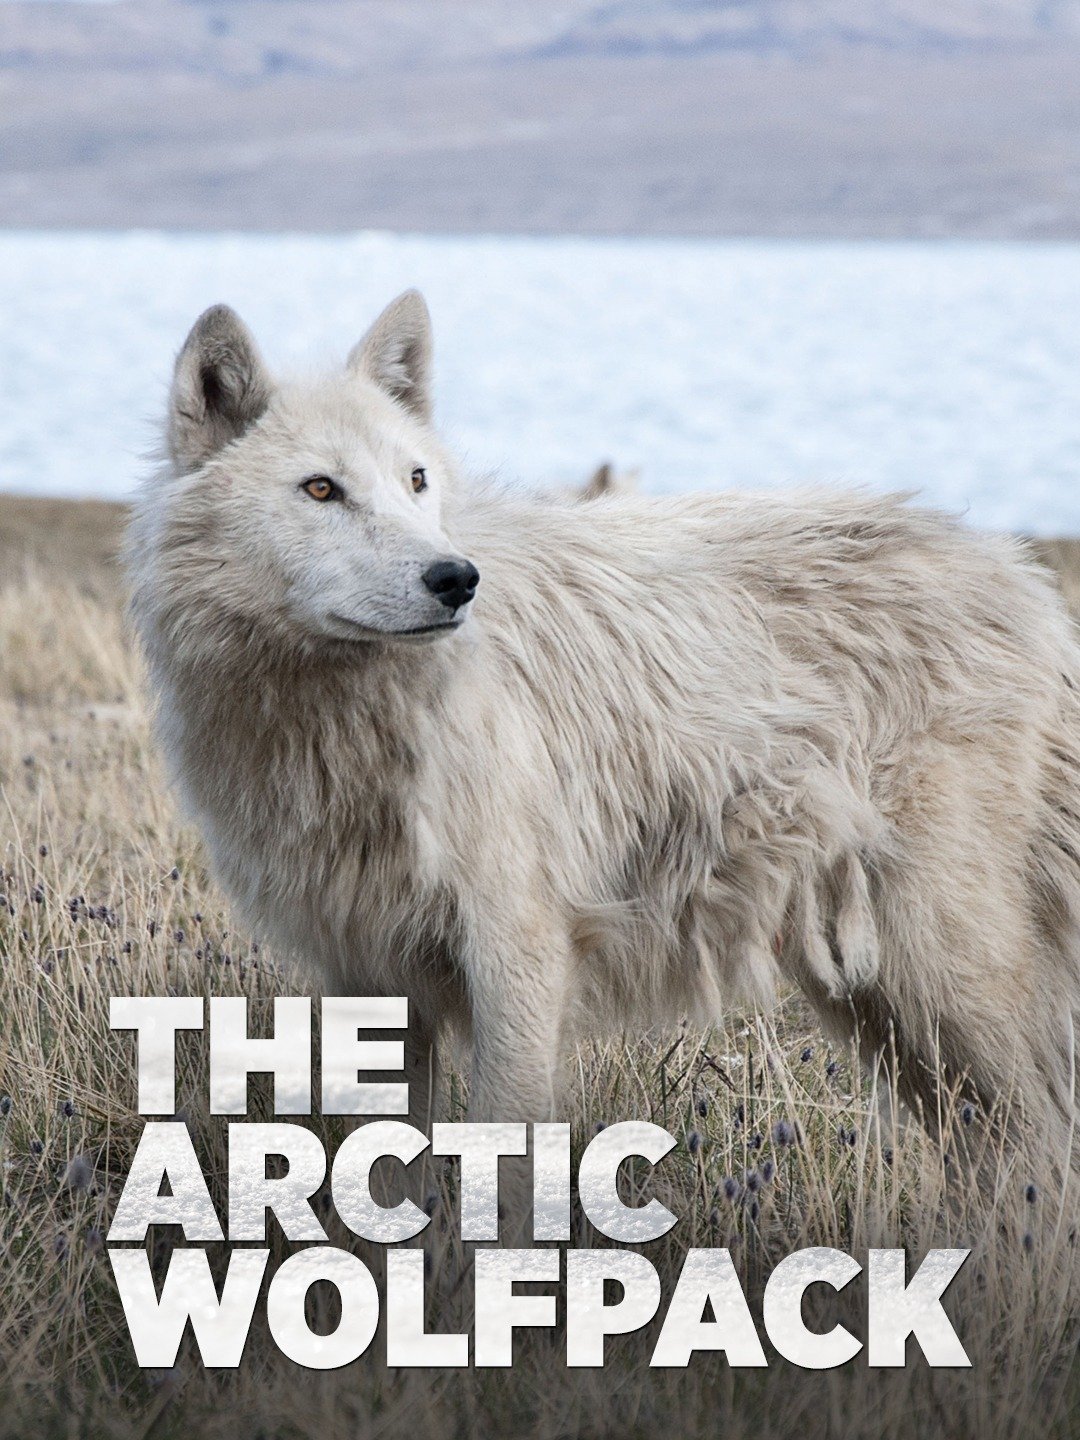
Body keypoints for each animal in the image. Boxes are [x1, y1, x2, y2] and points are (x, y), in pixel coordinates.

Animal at [128, 290, 1080, 1175]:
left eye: (416, 481)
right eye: (321, 489)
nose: (455, 579)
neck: (353, 722)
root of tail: (1024, 581)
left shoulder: (518, 954)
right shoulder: (377, 984)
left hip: (940, 974)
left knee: (1043, 1146)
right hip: (882, 1005)